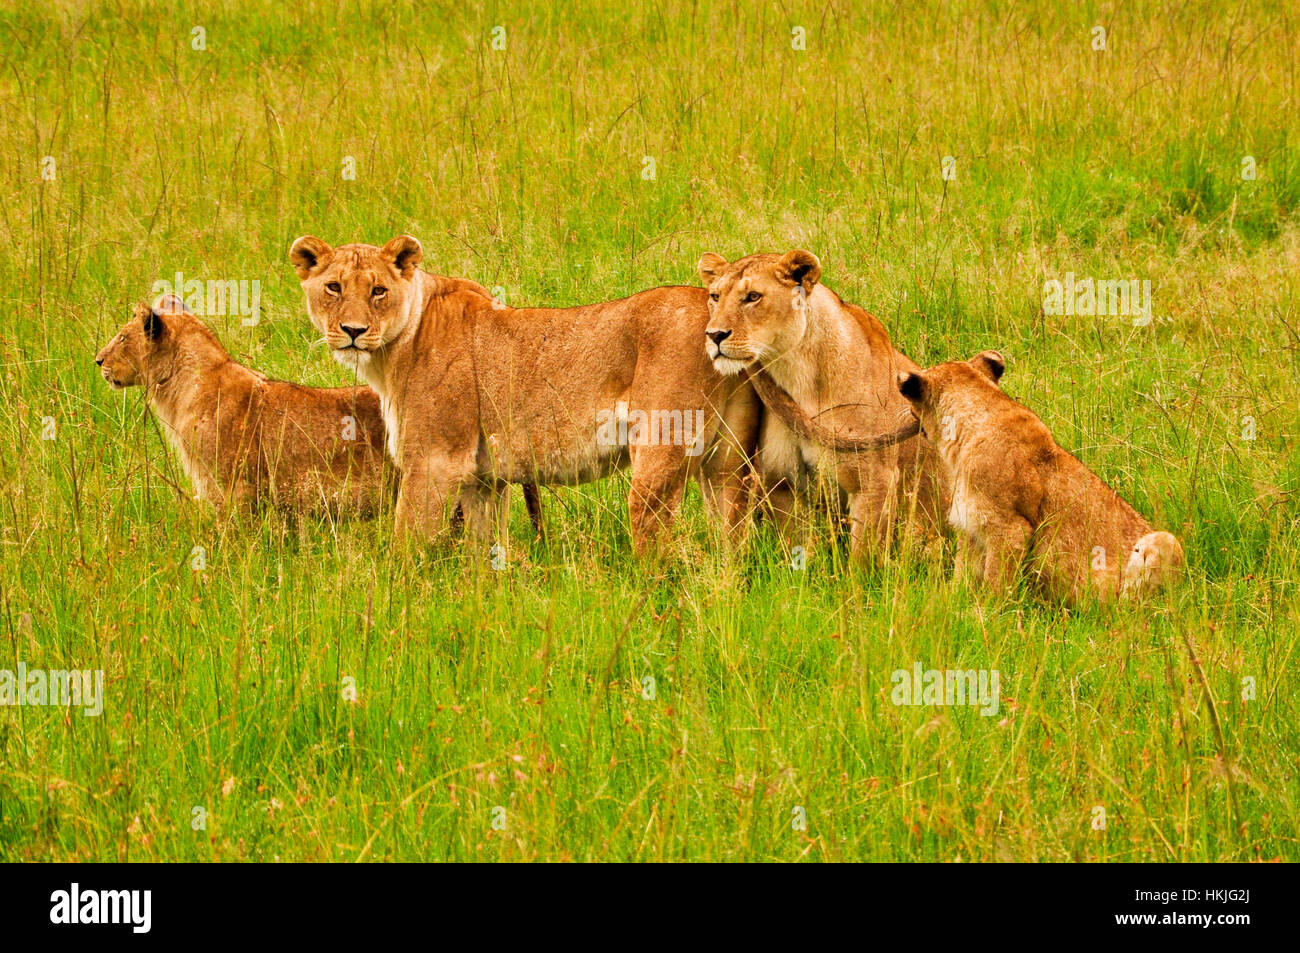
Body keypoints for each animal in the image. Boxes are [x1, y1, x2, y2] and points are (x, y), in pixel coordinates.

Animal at [288, 235, 759, 551]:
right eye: (333, 287)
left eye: (378, 290)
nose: (352, 331)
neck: (389, 355)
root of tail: (716, 310)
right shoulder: (484, 479)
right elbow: (483, 553)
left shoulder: (434, 461)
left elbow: (404, 545)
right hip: (727, 465)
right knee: (733, 538)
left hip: (661, 454)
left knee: (656, 545)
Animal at [698, 249, 943, 559]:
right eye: (715, 296)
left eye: (753, 296)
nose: (714, 335)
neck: (797, 373)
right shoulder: (784, 482)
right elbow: (796, 549)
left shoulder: (875, 481)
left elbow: (861, 561)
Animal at [895, 350, 1184, 602]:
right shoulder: (970, 527)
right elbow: (962, 575)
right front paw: (953, 604)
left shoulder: (1010, 529)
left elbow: (994, 585)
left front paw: (984, 616)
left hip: (1166, 542)